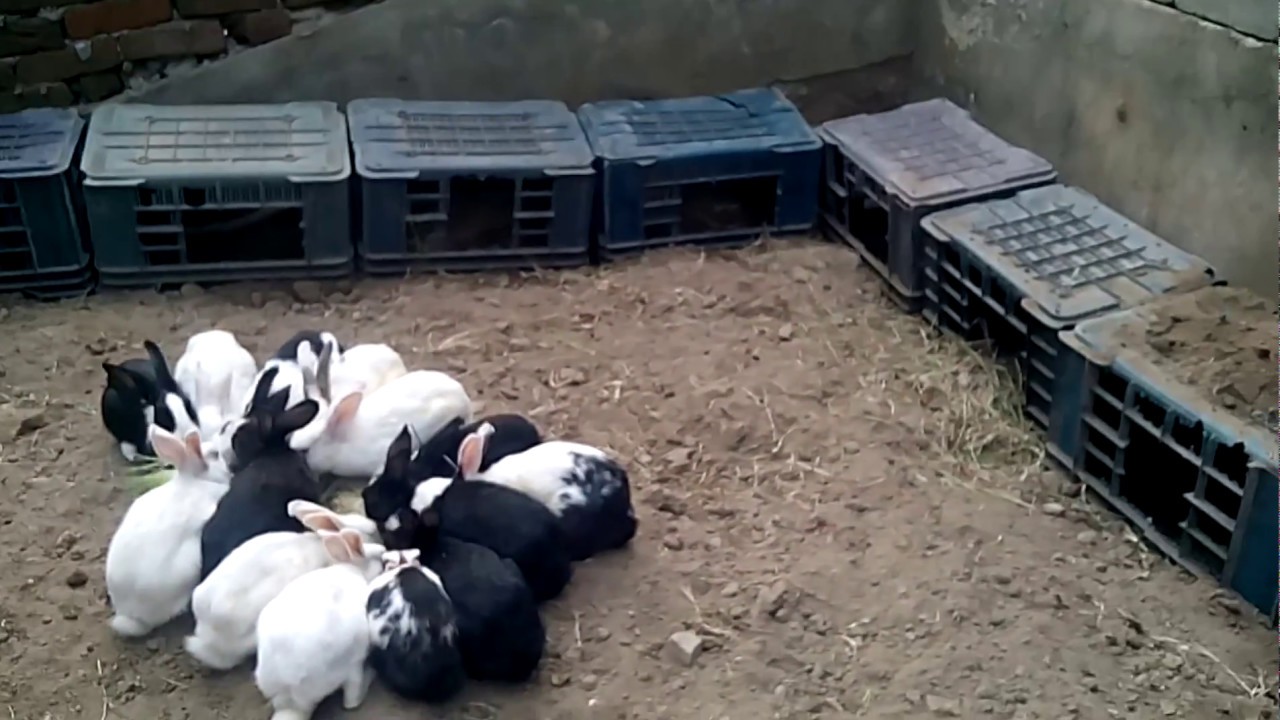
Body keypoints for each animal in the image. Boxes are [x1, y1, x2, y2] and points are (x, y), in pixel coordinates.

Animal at [255, 528, 385, 720]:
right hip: (352, 664)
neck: (355, 570)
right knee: (351, 701)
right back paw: (371, 674)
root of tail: (291, 701)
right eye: (381, 562)